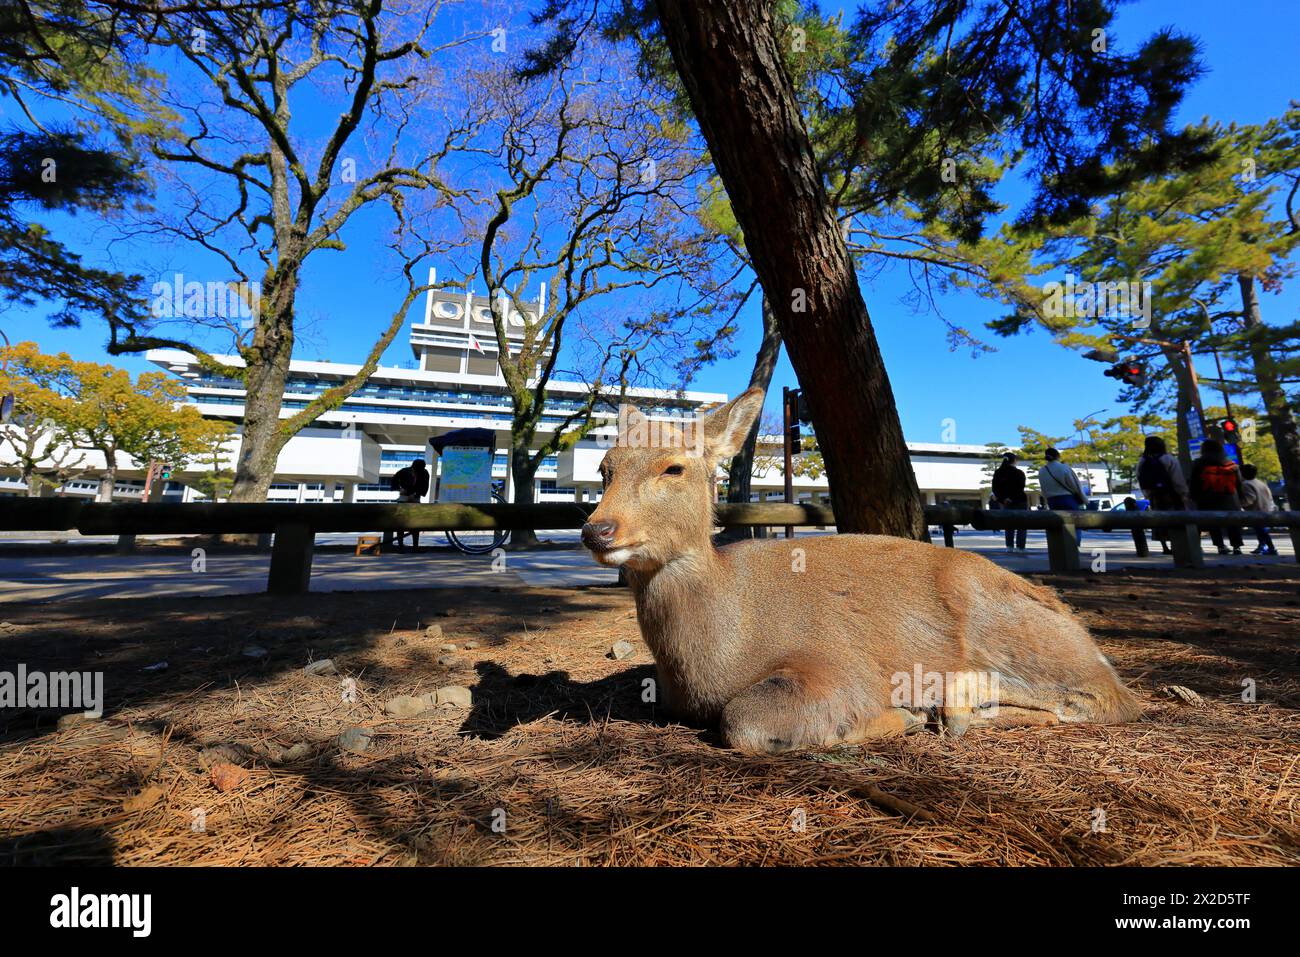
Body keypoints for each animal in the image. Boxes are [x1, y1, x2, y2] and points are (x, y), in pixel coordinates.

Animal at [580, 387, 1142, 754]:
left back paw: (951, 702)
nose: (597, 530)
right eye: (604, 468)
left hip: (1012, 627)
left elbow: (744, 722)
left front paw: (897, 718)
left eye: (673, 466)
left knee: (1107, 698)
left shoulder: (837, 665)